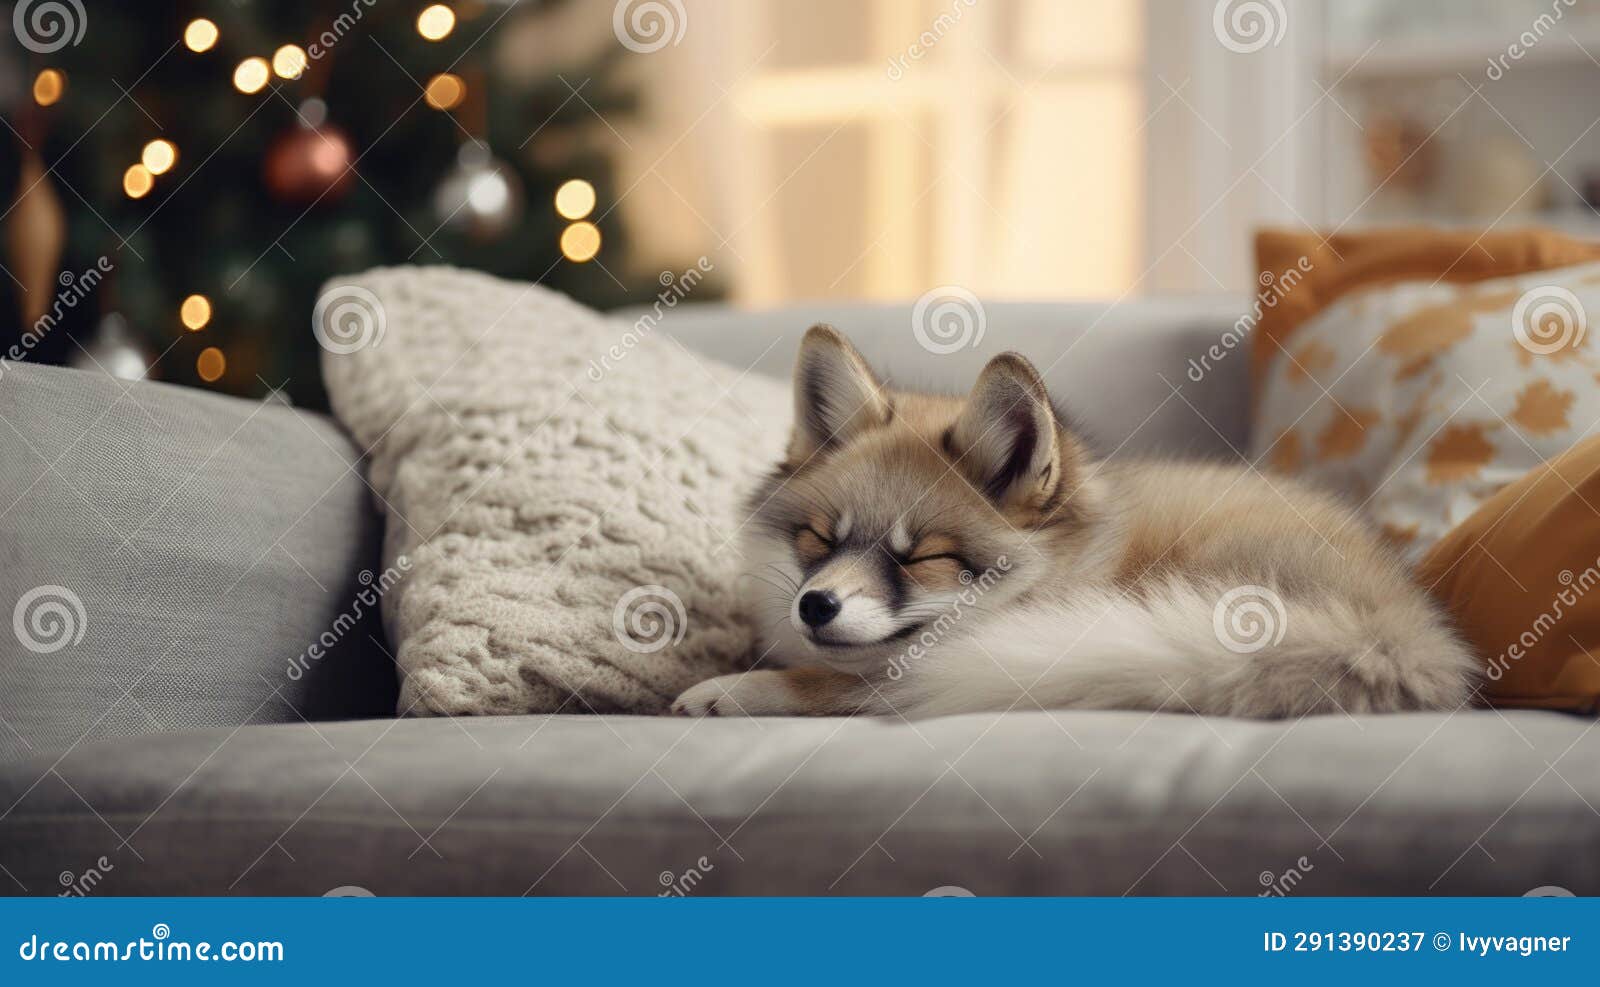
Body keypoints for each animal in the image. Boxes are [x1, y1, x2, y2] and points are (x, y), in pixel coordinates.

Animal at [670, 324, 1478, 719]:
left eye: (923, 557)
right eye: (818, 538)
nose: (815, 605)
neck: (1084, 565)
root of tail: (1402, 625)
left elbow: (839, 684)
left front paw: (736, 689)